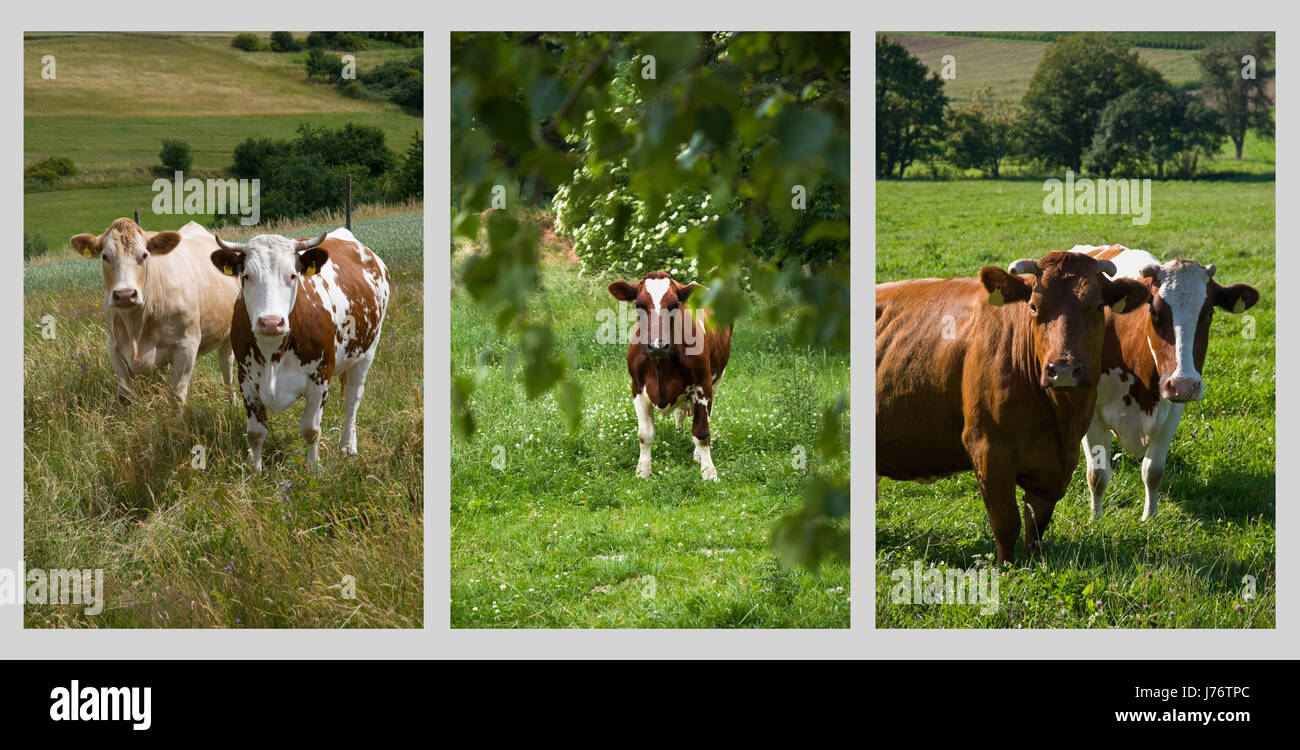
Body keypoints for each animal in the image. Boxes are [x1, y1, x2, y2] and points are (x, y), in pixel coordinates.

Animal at [70, 218, 238, 405]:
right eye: (105, 256)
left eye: (144, 255)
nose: (125, 295)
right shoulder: (114, 346)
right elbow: (126, 393)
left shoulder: (187, 345)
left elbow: (176, 396)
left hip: (227, 337)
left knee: (227, 369)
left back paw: (232, 402)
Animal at [209, 227, 390, 471]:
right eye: (246, 276)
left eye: (293, 275)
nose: (270, 322)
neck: (273, 354)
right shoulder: (245, 379)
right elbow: (255, 433)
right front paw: (255, 472)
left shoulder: (320, 378)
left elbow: (310, 430)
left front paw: (313, 469)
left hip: (367, 352)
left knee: (352, 400)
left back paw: (348, 446)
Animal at [607, 272, 733, 481]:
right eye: (638, 305)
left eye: (675, 305)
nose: (657, 345)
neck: (661, 364)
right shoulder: (637, 387)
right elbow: (645, 434)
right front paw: (643, 471)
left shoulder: (703, 385)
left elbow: (701, 432)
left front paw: (709, 472)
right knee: (680, 413)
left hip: (717, 379)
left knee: (707, 416)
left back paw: (698, 455)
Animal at [876, 251, 1150, 563]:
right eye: (1034, 306)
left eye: (1096, 306)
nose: (1064, 370)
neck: (1059, 416)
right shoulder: (987, 450)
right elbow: (1006, 522)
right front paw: (1005, 566)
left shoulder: (1058, 462)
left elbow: (1037, 522)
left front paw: (1032, 561)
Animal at [1070, 244, 1260, 520]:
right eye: (1155, 313)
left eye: (1209, 314)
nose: (1184, 385)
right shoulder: (1092, 414)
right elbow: (1097, 475)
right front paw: (1096, 520)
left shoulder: (1172, 412)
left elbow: (1153, 471)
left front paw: (1150, 517)